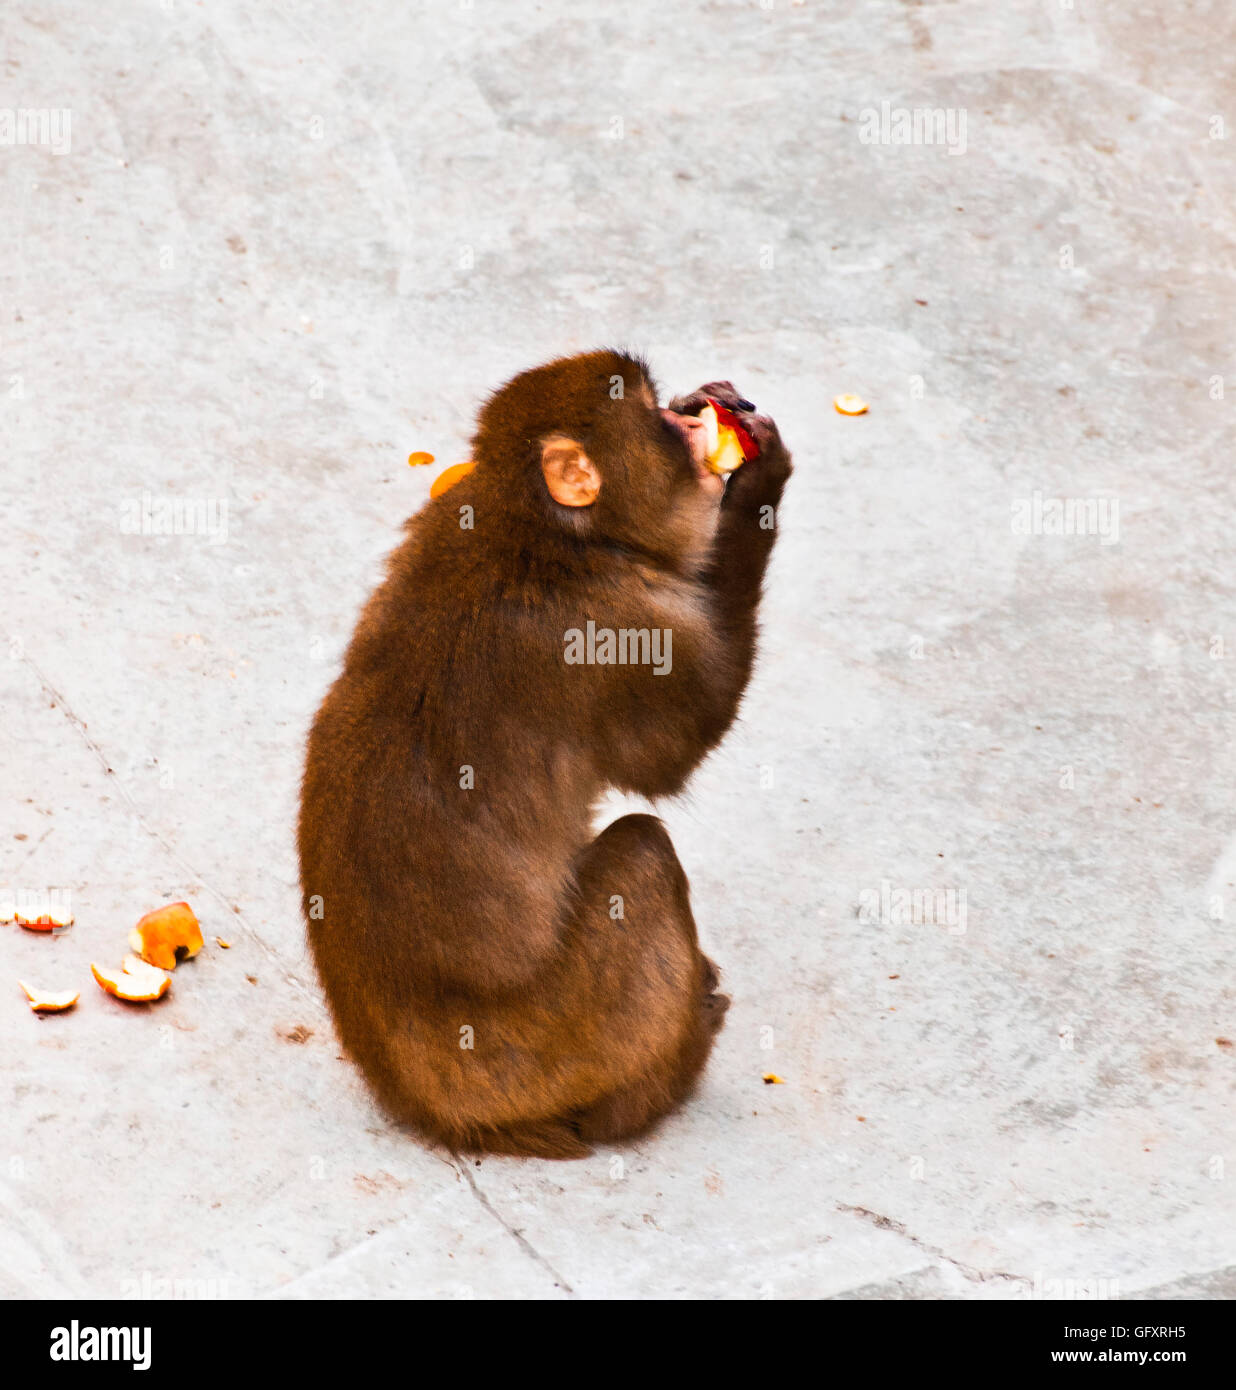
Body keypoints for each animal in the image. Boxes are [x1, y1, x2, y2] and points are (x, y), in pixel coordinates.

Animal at [297, 349, 791, 1158]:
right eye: (655, 416)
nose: (697, 411)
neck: (545, 533)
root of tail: (428, 1108)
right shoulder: (623, 625)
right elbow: (671, 760)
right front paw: (759, 485)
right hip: (540, 1049)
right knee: (642, 854)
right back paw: (657, 1084)